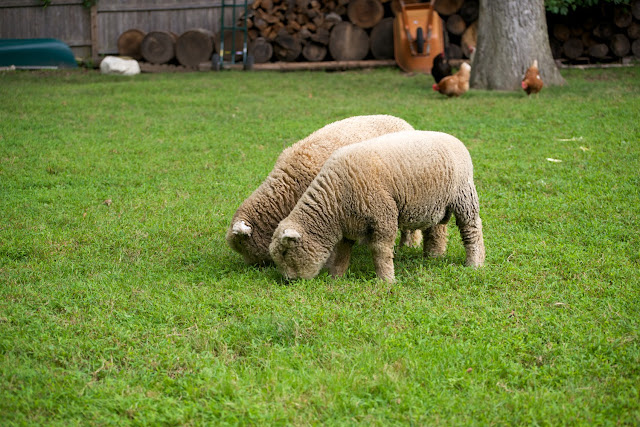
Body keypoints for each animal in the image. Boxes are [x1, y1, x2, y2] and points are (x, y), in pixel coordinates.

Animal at [269, 130, 485, 283]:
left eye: (285, 252)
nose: (288, 281)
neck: (334, 203)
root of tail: (453, 138)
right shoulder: (348, 226)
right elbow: (342, 253)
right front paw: (336, 277)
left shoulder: (383, 216)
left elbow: (381, 251)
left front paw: (386, 281)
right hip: (434, 204)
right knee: (435, 230)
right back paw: (433, 257)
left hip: (464, 195)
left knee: (472, 229)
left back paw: (475, 263)